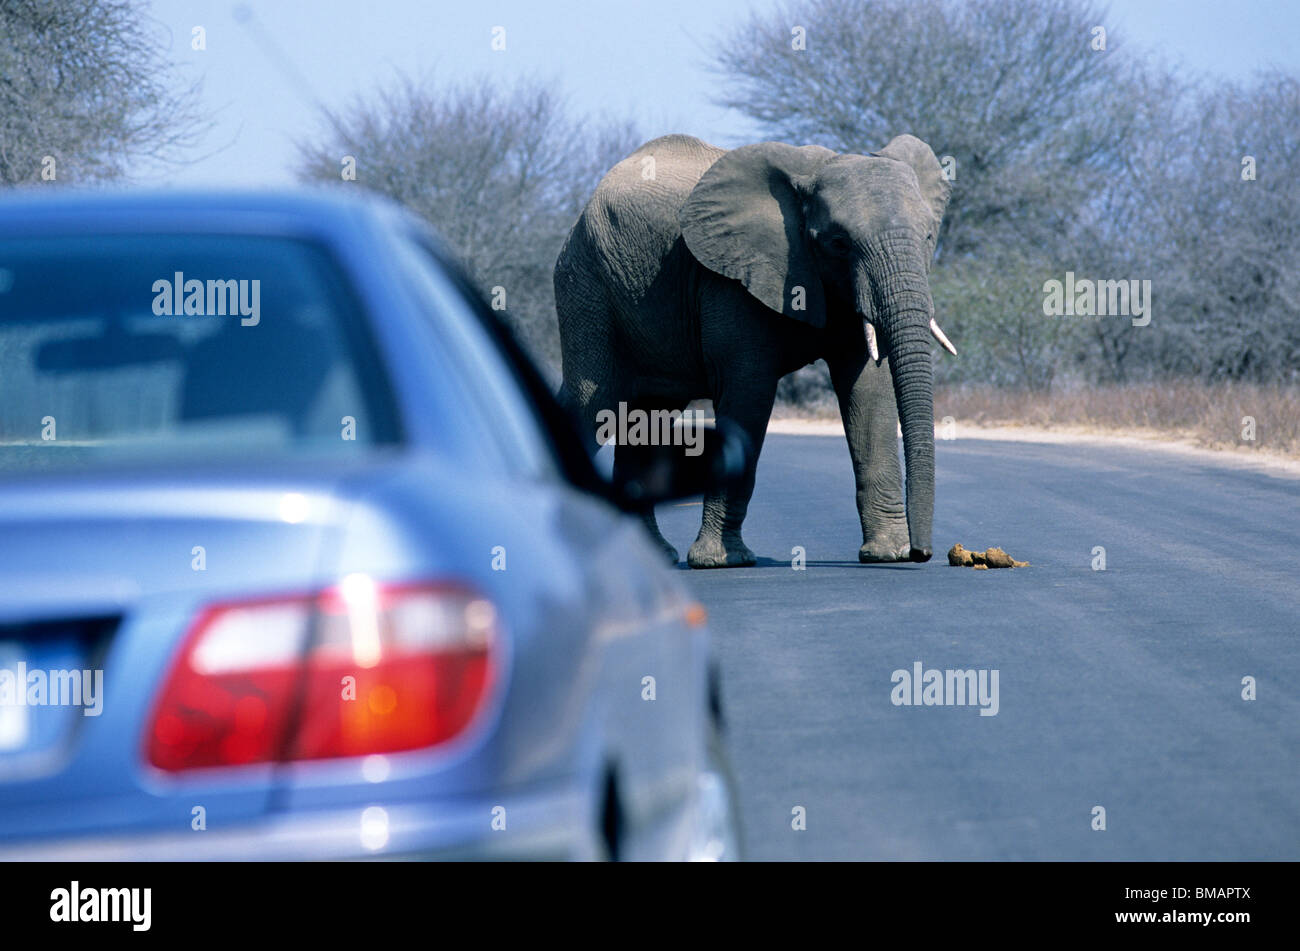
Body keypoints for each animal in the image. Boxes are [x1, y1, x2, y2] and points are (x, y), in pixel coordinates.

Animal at [553, 133, 955, 568]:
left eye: (928, 237)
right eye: (839, 244)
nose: (923, 552)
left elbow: (868, 391)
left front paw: (888, 555)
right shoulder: (730, 278)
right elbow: (749, 390)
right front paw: (722, 560)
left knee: (645, 414)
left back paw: (653, 556)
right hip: (586, 282)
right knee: (595, 400)